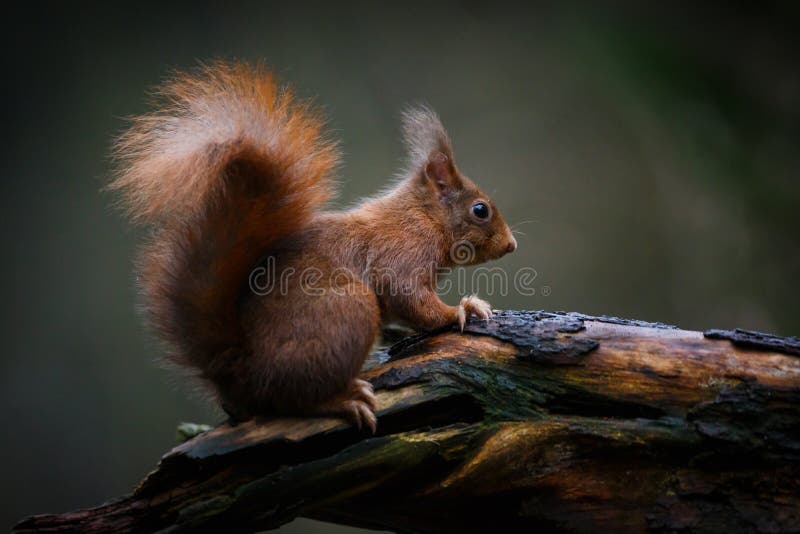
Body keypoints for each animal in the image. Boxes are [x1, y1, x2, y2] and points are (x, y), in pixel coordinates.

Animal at [110, 61, 517, 433]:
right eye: (480, 210)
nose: (511, 245)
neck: (422, 217)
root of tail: (239, 372)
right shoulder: (400, 253)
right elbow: (411, 298)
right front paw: (461, 309)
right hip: (346, 310)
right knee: (291, 399)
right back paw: (342, 400)